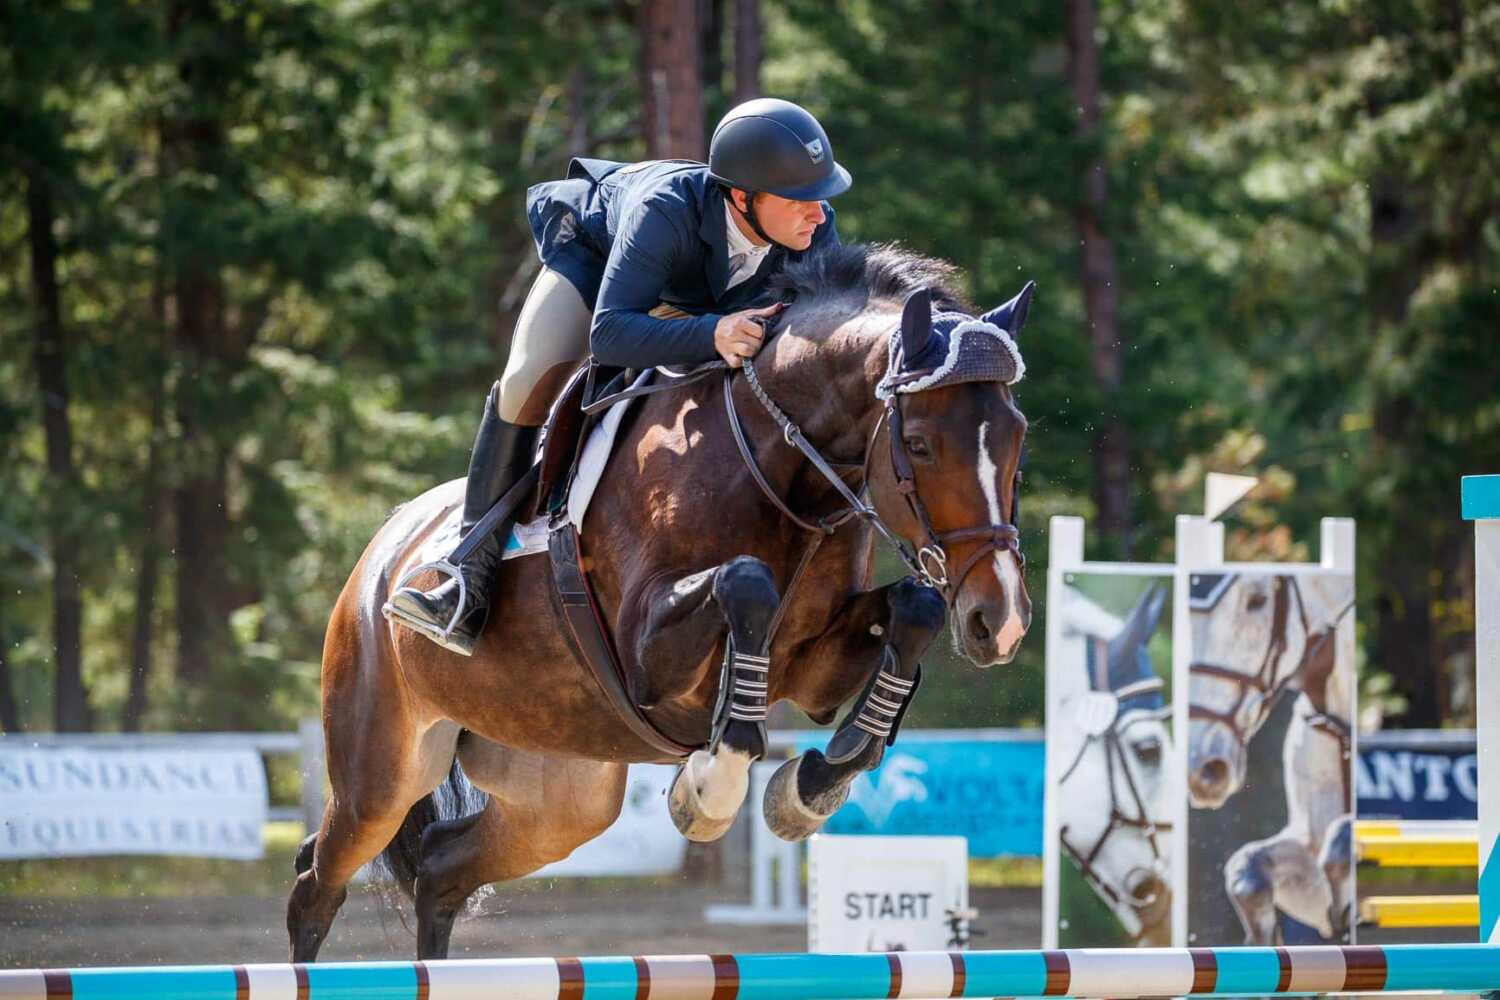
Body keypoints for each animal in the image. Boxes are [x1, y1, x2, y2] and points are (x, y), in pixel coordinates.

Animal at [285, 243, 1034, 961]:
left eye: (1017, 439)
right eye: (919, 445)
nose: (1000, 622)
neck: (778, 468)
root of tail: (381, 552)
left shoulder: (813, 669)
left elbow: (914, 609)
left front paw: (813, 785)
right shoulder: (646, 656)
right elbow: (745, 584)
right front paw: (708, 787)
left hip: (560, 794)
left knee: (442, 869)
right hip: (380, 773)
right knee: (317, 883)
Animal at [1185, 572, 1356, 943]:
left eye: (1257, 600)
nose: (1206, 771)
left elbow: (1343, 838)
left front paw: (1347, 908)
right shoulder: (1307, 843)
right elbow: (1247, 870)